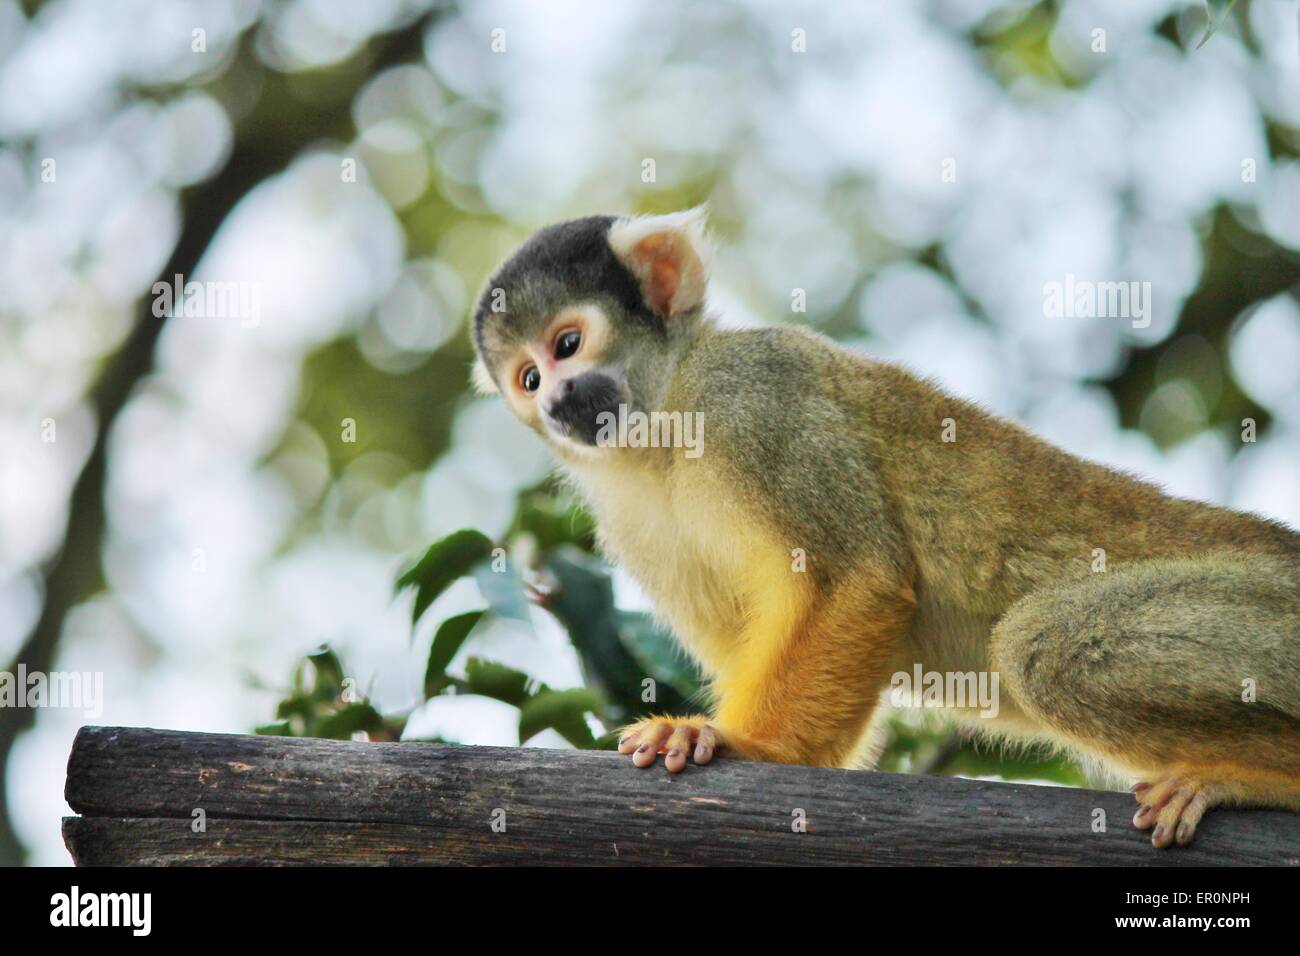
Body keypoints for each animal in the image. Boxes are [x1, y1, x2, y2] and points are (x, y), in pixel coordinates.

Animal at [469, 207, 1300, 849]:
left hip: (1269, 614)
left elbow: (855, 576)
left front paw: (745, 743)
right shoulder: (624, 515)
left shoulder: (754, 394)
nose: (557, 403)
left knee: (1045, 649)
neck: (666, 422)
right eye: (528, 379)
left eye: (568, 345)